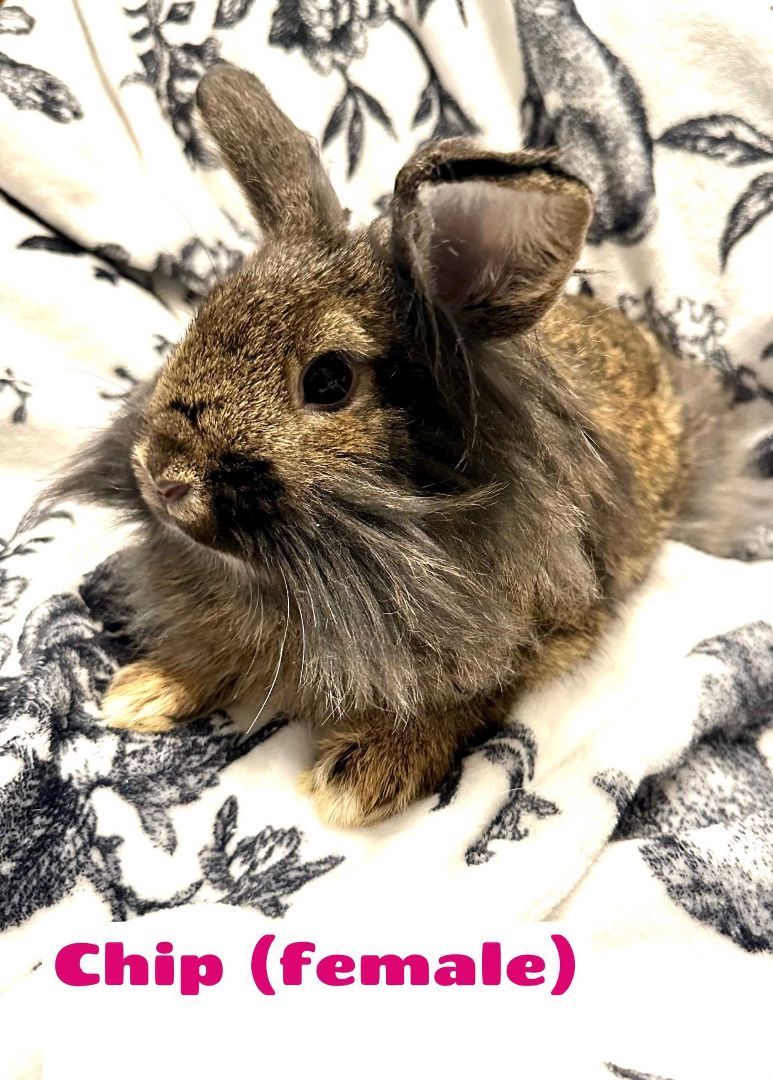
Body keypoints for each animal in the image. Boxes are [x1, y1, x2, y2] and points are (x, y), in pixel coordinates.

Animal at [48, 65, 771, 828]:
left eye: (329, 380)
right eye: (198, 320)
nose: (163, 476)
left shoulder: (546, 633)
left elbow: (471, 694)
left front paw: (361, 775)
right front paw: (145, 691)